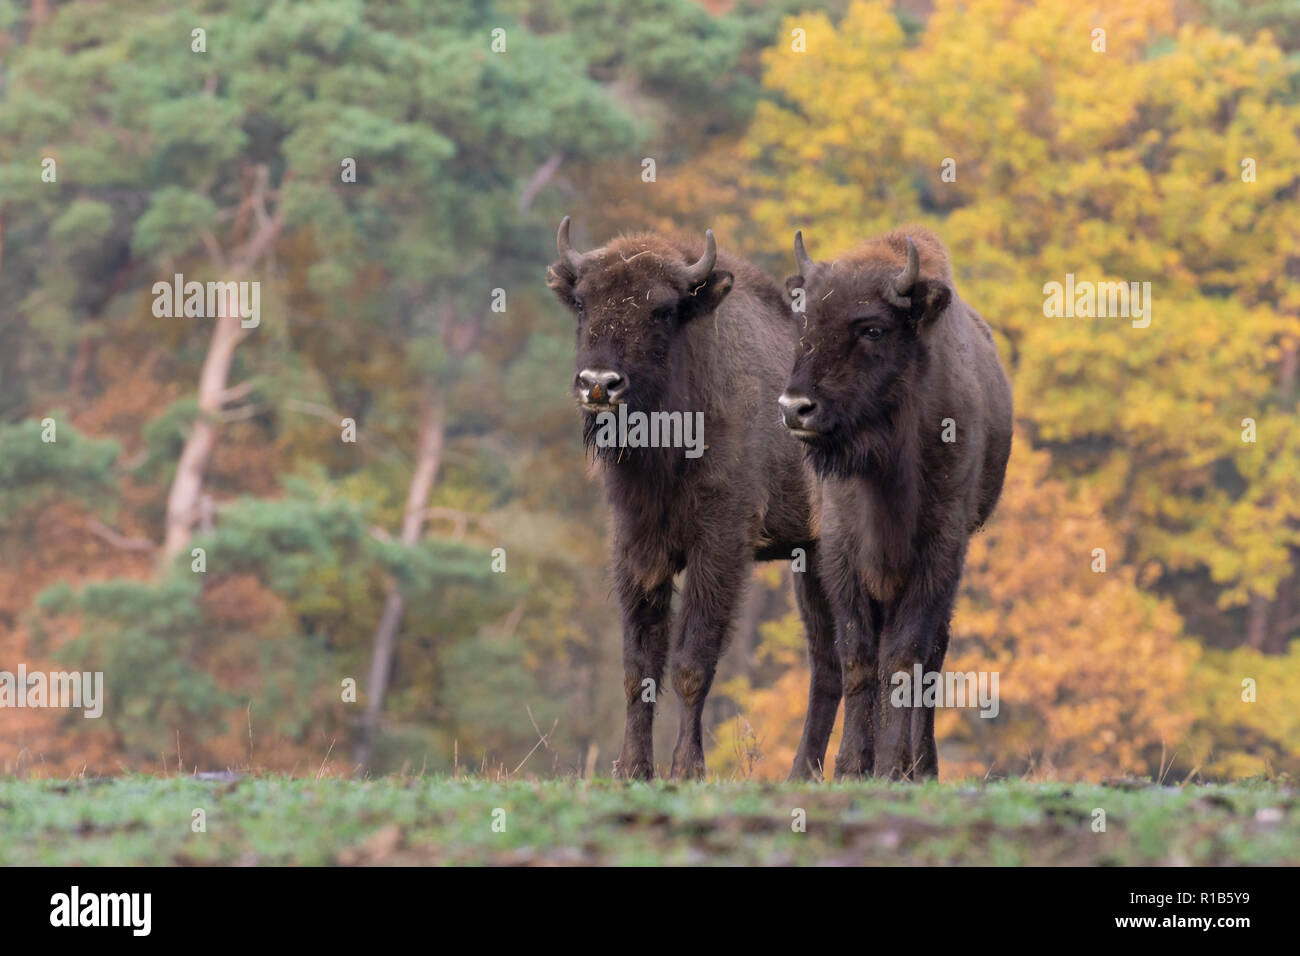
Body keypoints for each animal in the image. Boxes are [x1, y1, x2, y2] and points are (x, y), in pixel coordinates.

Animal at [547, 217, 840, 780]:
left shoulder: (719, 547)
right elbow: (638, 665)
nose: (599, 385)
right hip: (809, 561)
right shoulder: (636, 549)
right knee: (829, 666)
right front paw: (631, 769)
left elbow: (691, 662)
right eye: (583, 303)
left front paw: (686, 768)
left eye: (663, 310)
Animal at [778, 226, 1013, 780]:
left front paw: (890, 766)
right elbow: (858, 656)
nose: (796, 408)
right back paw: (804, 769)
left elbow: (905, 659)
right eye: (805, 321)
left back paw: (920, 765)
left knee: (932, 658)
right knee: (825, 662)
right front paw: (849, 766)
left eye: (872, 329)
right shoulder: (840, 552)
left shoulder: (938, 551)